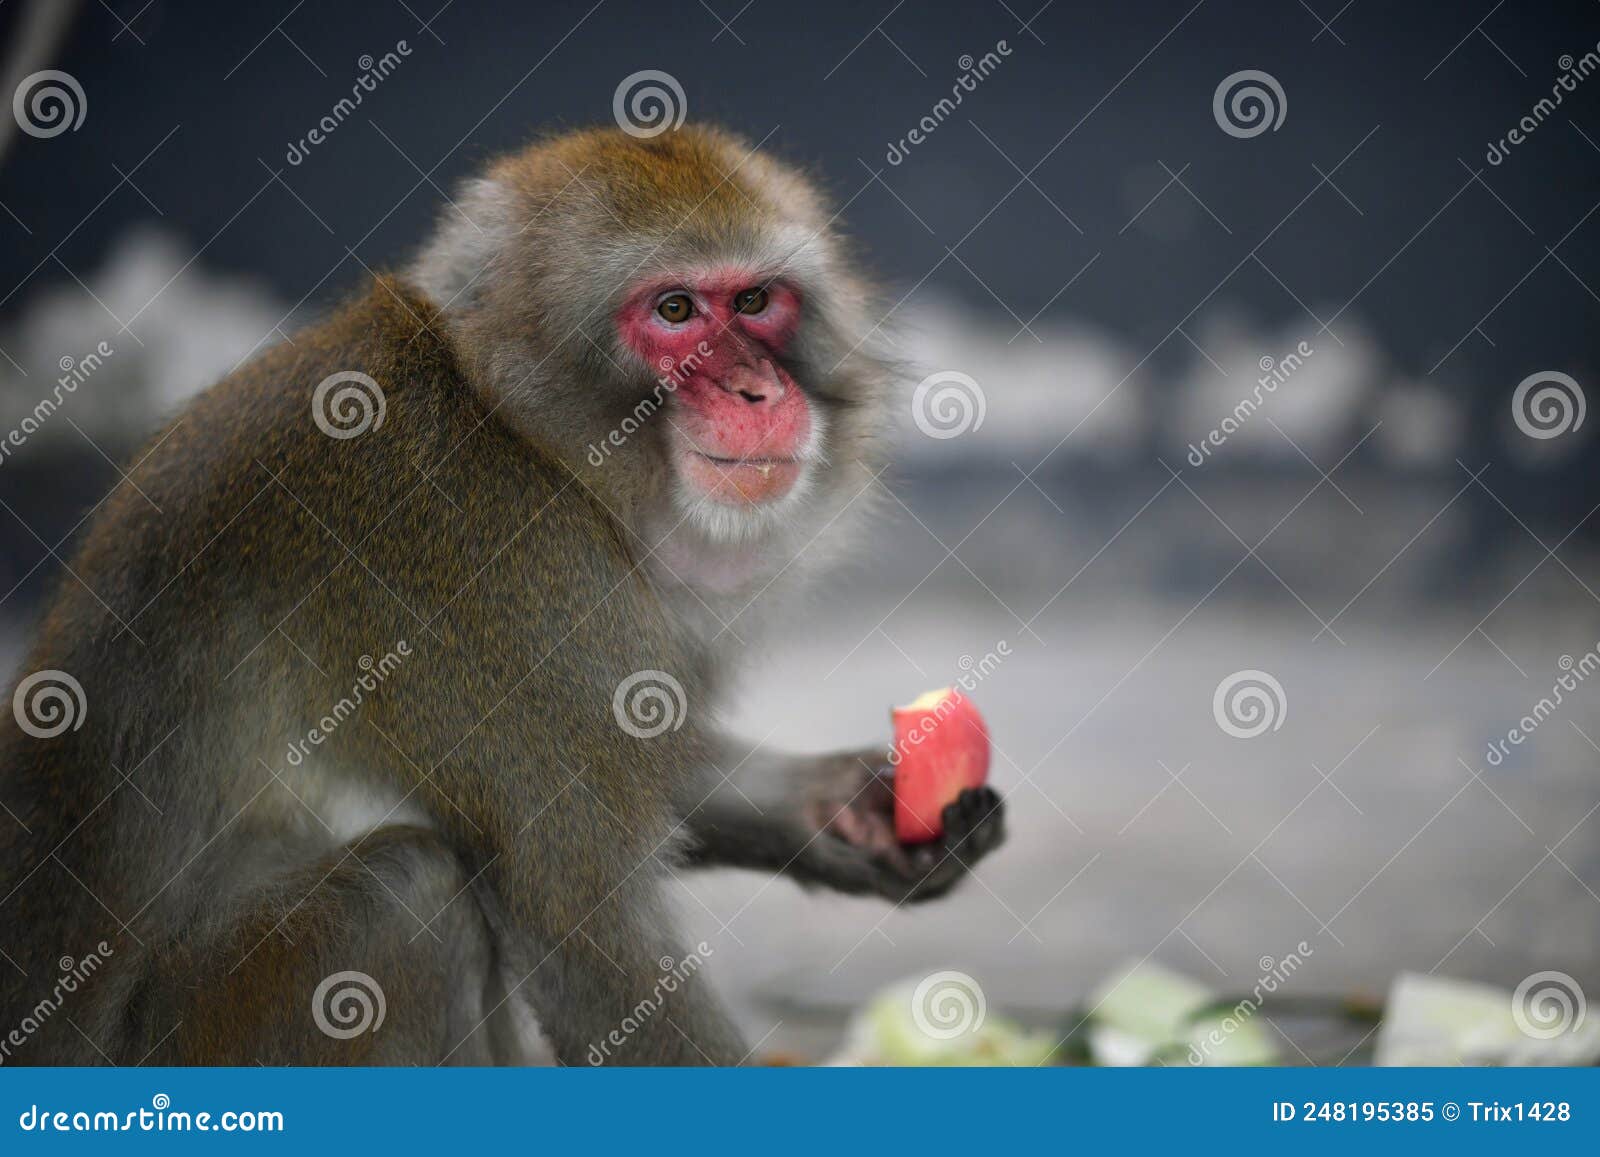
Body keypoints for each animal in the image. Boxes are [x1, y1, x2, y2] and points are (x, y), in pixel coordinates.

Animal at [0, 124, 1005, 1066]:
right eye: (675, 310)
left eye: (755, 301)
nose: (759, 390)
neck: (530, 442)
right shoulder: (499, 578)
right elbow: (591, 939)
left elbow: (658, 750)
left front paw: (848, 810)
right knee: (405, 902)